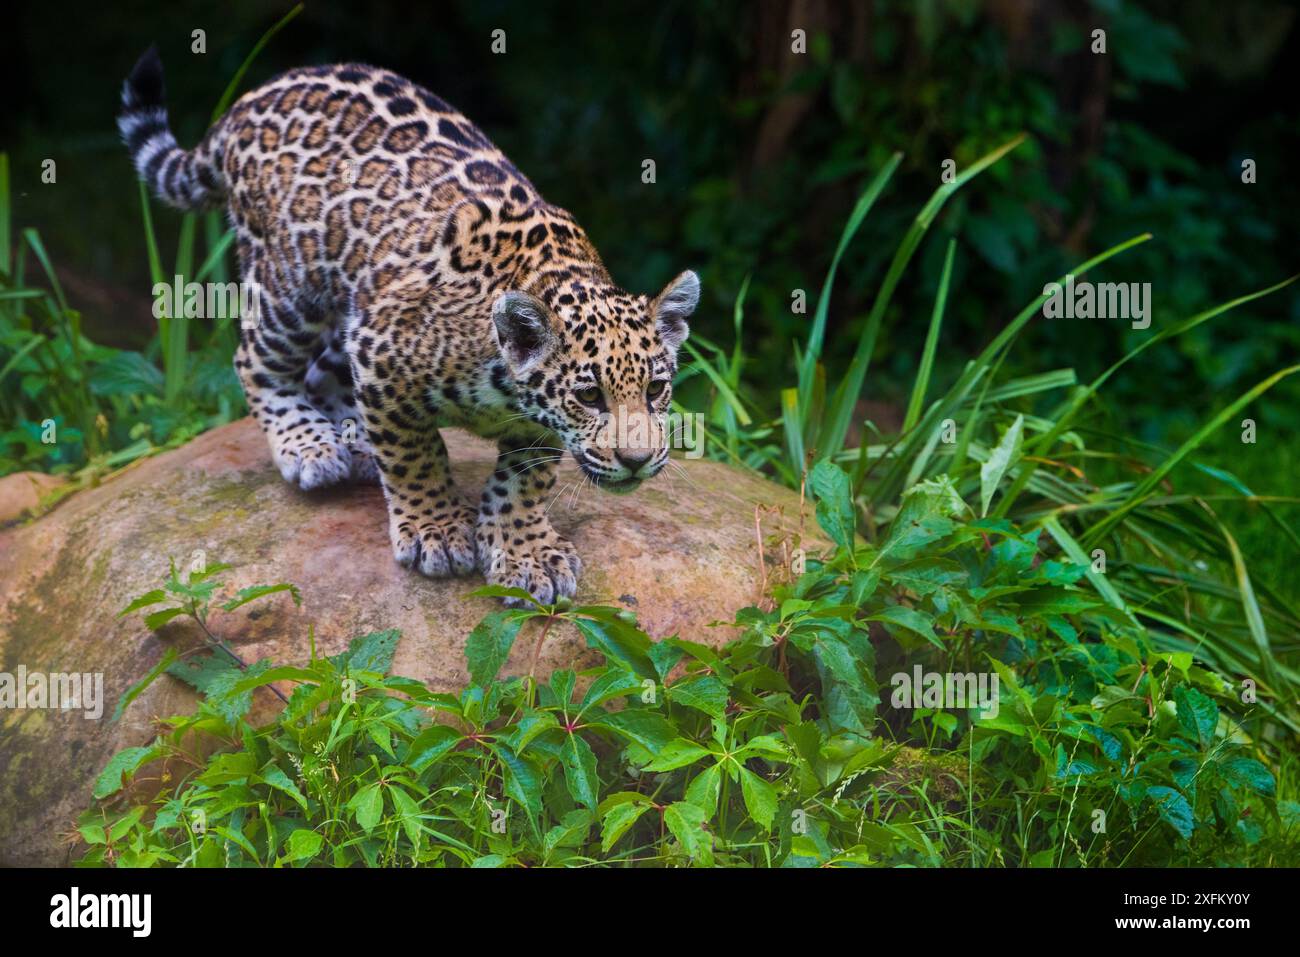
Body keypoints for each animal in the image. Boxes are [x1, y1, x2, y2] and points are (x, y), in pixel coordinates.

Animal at [117, 46, 699, 606]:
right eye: (590, 397)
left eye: (655, 390)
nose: (637, 461)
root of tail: (251, 97)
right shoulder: (381, 356)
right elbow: (411, 451)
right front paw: (434, 530)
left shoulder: (524, 420)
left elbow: (526, 479)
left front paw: (525, 552)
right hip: (292, 283)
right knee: (255, 360)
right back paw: (310, 445)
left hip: (350, 303)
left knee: (322, 371)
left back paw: (349, 436)